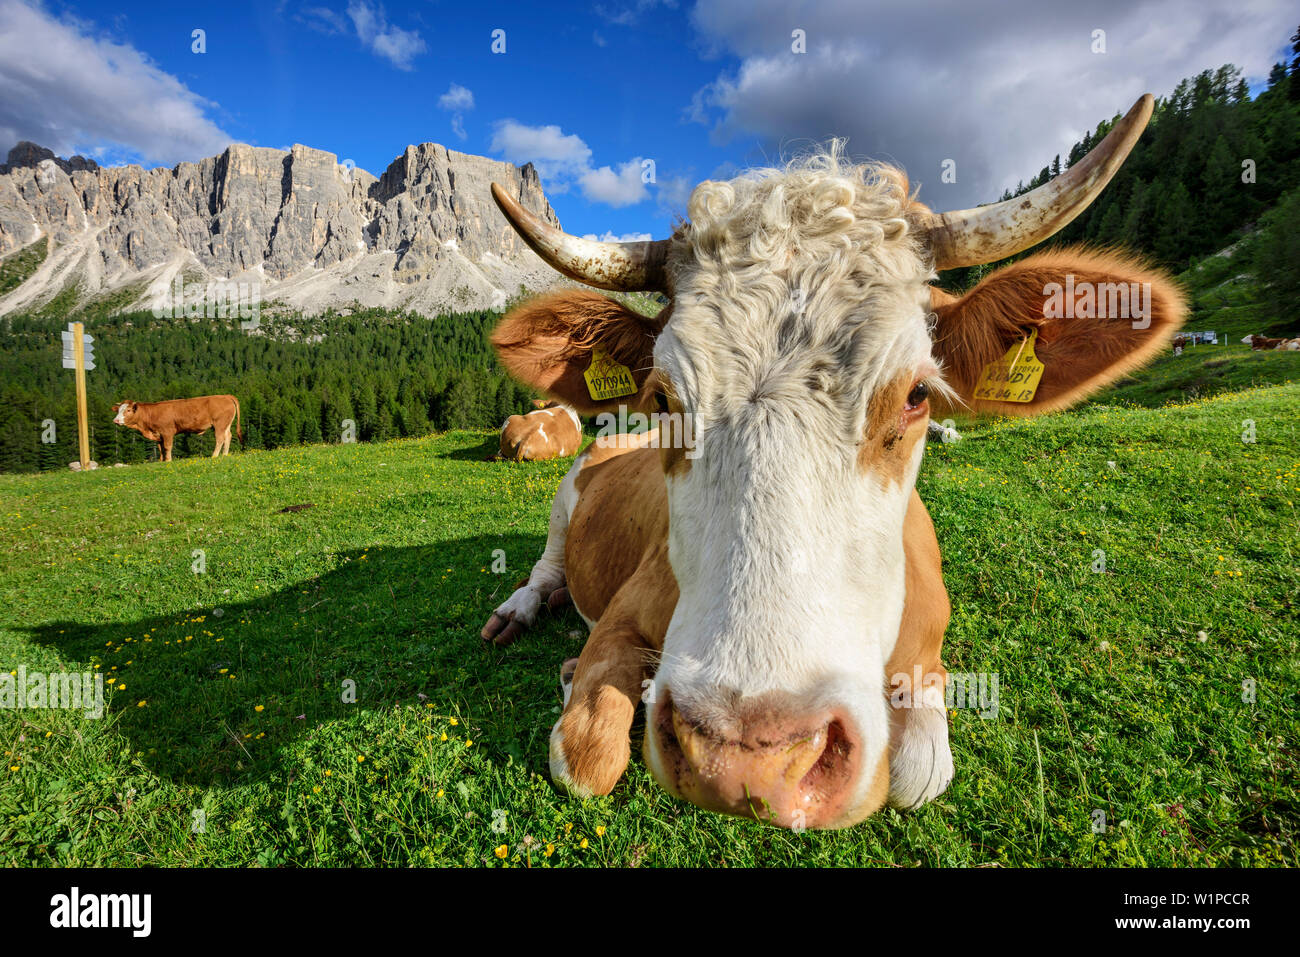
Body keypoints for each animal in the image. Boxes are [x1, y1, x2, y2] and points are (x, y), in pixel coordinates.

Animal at [112, 395, 243, 461]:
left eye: (128, 410)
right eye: (118, 410)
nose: (115, 420)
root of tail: (225, 396)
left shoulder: (167, 432)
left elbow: (167, 447)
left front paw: (169, 460)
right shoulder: (158, 435)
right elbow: (161, 449)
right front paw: (162, 461)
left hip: (219, 424)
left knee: (220, 439)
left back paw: (214, 456)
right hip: (225, 425)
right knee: (228, 437)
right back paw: (224, 455)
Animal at [480, 95, 1185, 829]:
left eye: (917, 394)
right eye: (663, 398)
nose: (746, 760)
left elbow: (919, 772)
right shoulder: (623, 614)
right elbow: (585, 759)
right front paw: (572, 677)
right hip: (568, 492)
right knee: (547, 563)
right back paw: (520, 607)